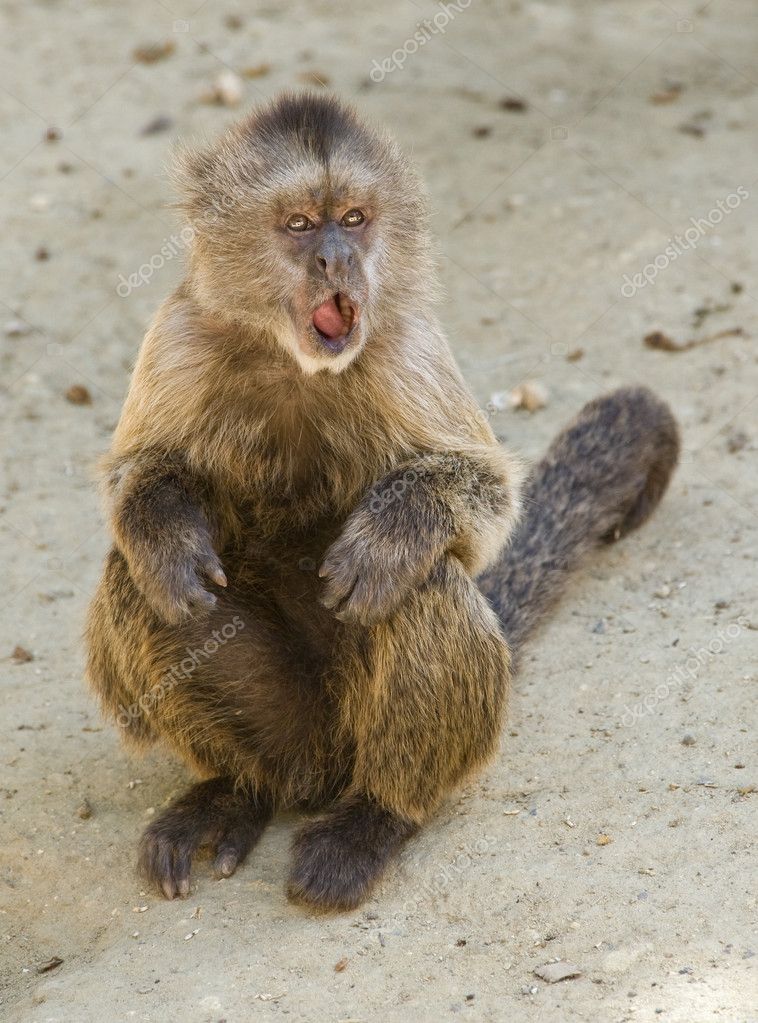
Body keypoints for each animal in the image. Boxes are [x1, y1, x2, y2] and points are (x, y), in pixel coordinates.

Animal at [85, 92, 680, 911]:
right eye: (302, 224)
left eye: (355, 217)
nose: (337, 261)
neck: (294, 361)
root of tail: (316, 769)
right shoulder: (178, 334)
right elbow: (134, 478)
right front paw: (167, 534)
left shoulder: (406, 346)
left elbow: (487, 504)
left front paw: (391, 535)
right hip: (286, 721)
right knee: (138, 584)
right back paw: (236, 788)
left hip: (357, 732)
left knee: (426, 588)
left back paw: (378, 815)